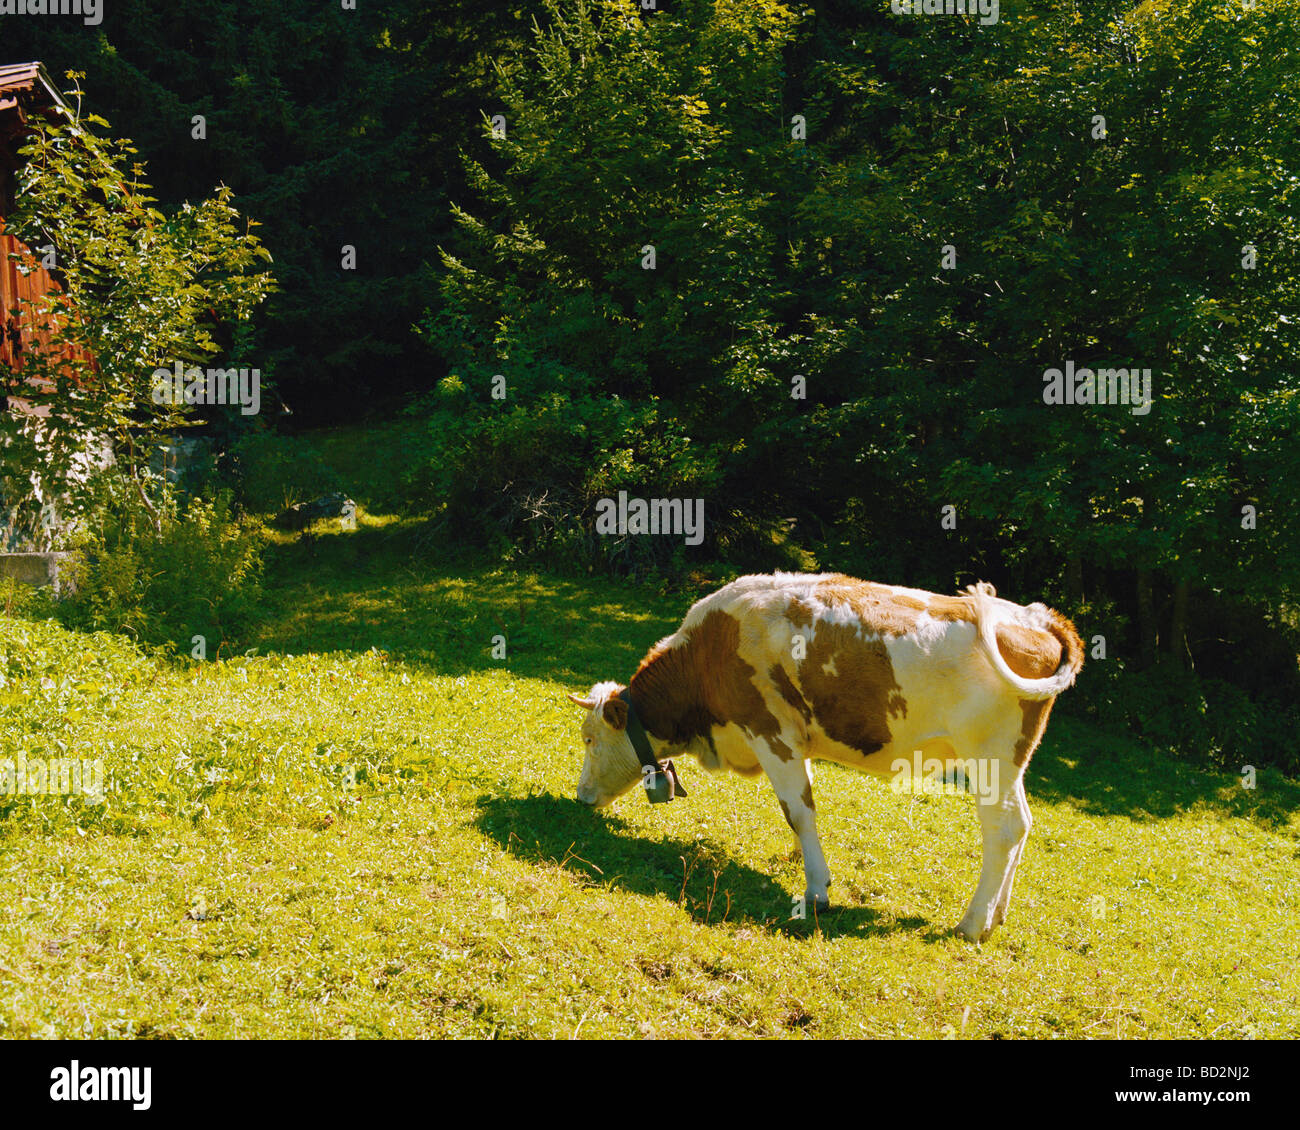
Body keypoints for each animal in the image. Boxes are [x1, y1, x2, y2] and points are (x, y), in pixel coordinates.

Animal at [568, 572, 1084, 941]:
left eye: (589, 738)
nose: (580, 797)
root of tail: (1037, 617)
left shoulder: (769, 731)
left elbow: (797, 809)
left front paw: (816, 889)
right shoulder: (795, 740)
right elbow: (805, 804)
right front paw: (803, 859)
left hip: (989, 756)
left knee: (1004, 828)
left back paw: (973, 923)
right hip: (1013, 761)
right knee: (1022, 824)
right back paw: (998, 914)